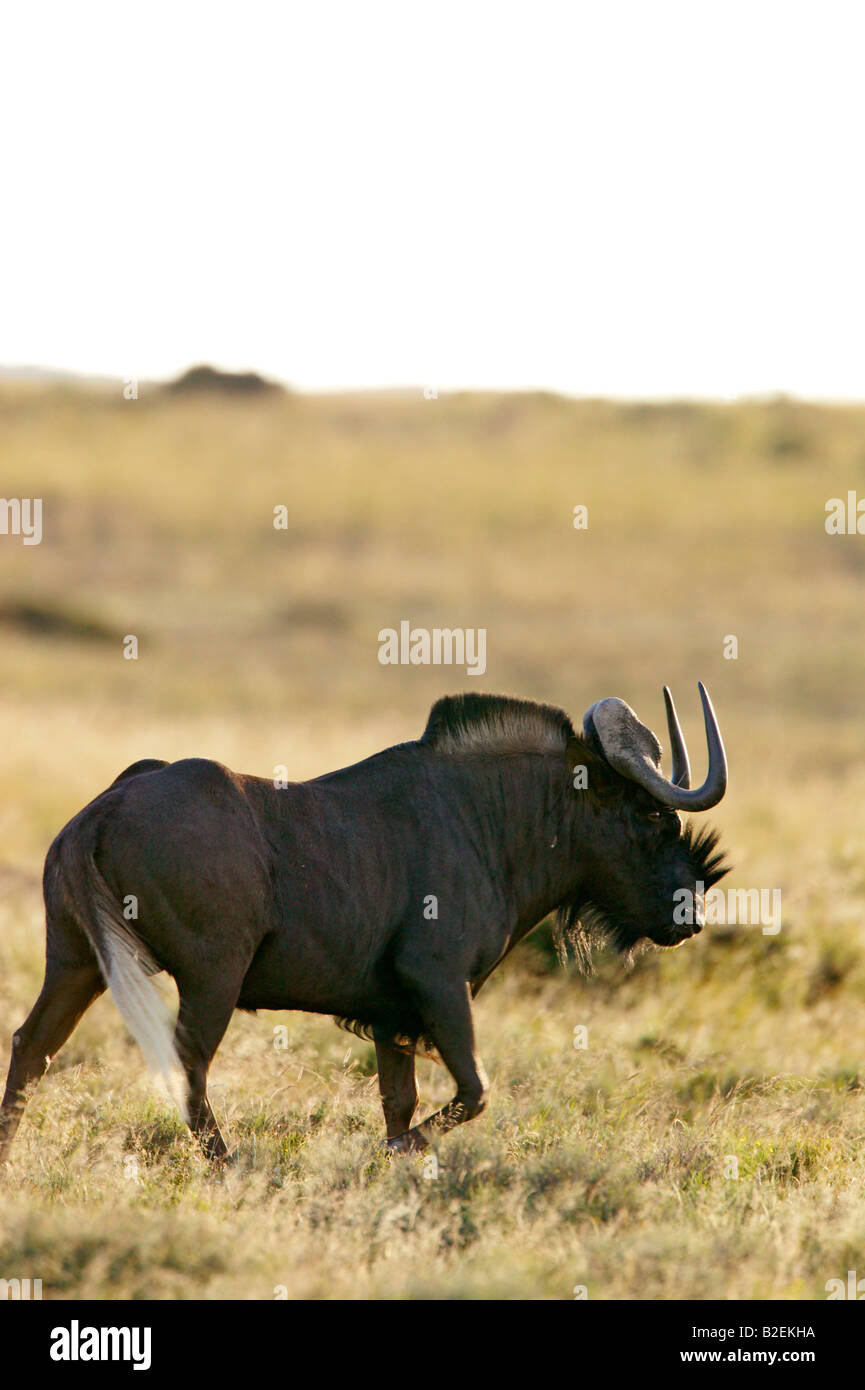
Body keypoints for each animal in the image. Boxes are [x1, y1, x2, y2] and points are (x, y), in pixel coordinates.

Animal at [0, 685, 728, 1163]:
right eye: (651, 814)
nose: (689, 914)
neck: (488, 819)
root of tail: (105, 808)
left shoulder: (390, 1015)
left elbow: (400, 1104)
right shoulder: (437, 984)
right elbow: (472, 1093)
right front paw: (385, 1158)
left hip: (77, 965)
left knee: (32, 1047)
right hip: (213, 977)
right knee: (187, 1070)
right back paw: (229, 1168)